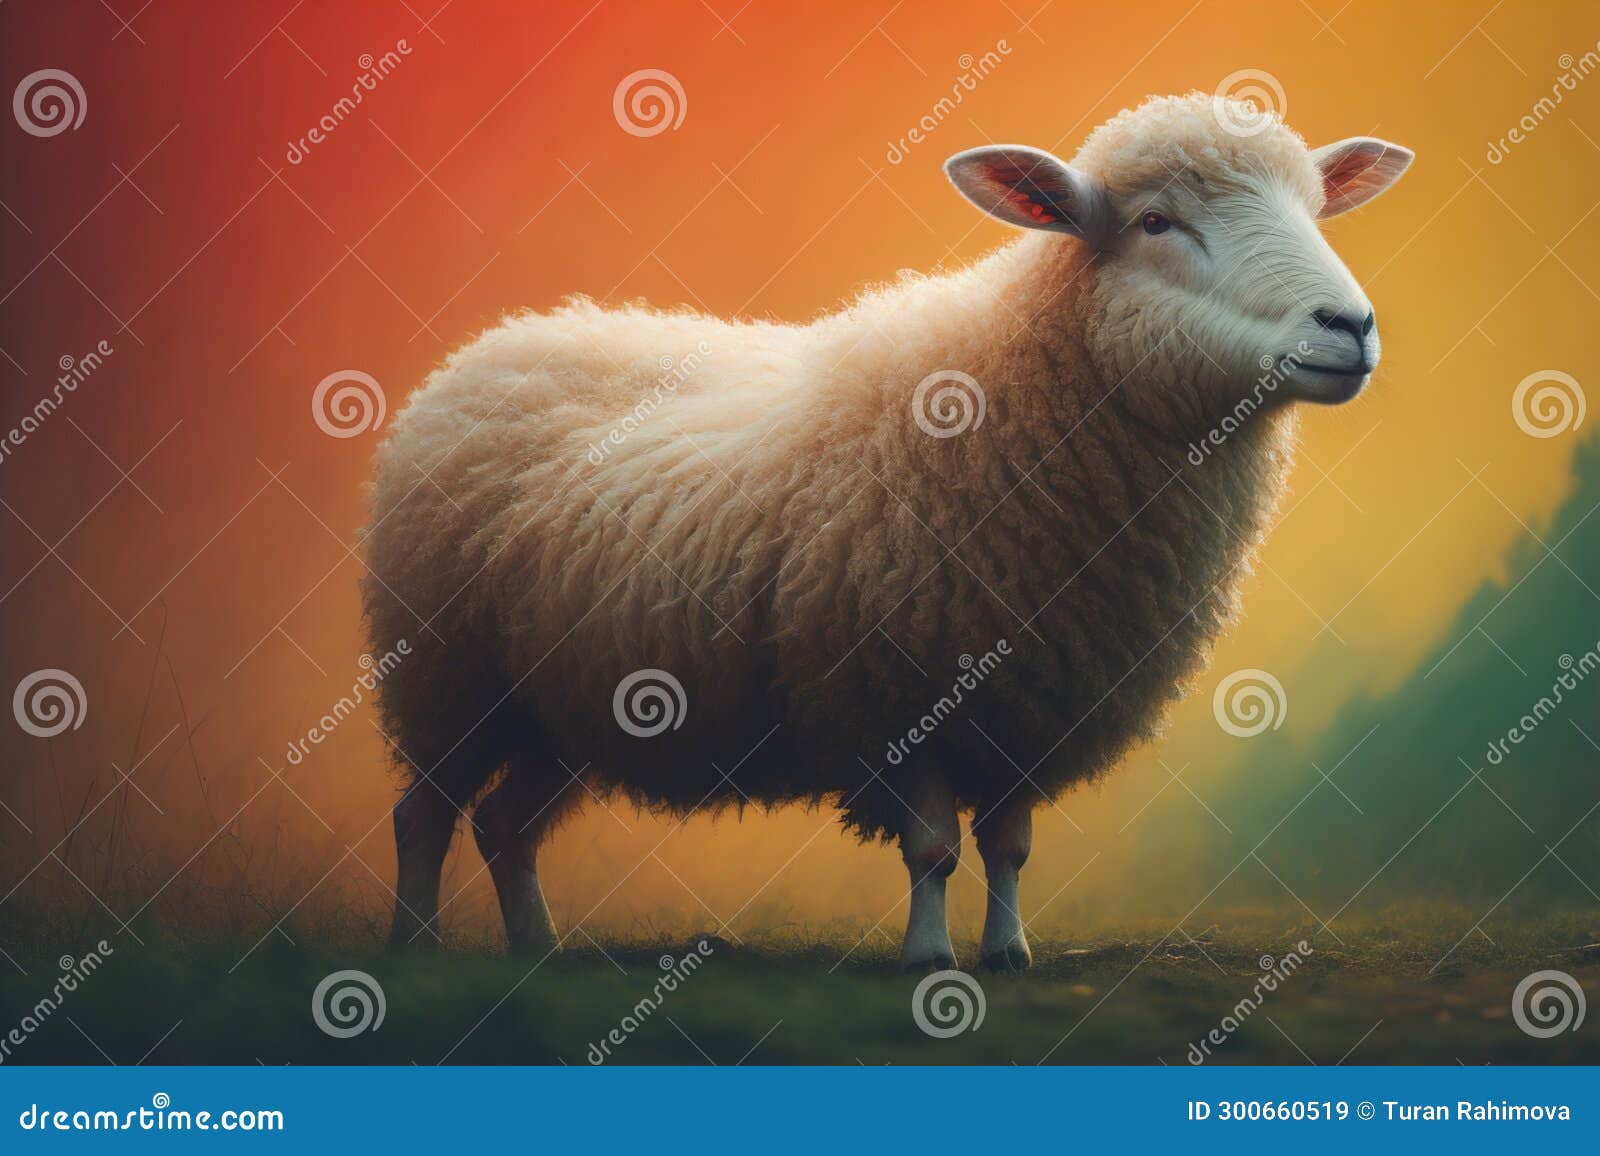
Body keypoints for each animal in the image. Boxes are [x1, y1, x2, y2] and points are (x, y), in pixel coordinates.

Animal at [362, 93, 1413, 971]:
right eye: (1157, 222)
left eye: (1315, 209)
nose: (1350, 325)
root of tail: (494, 345)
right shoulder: (894, 691)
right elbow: (935, 850)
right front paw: (930, 959)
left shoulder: (1030, 696)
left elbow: (1010, 847)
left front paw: (1008, 954)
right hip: (446, 676)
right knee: (423, 817)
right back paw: (413, 947)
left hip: (555, 701)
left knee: (504, 826)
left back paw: (533, 951)